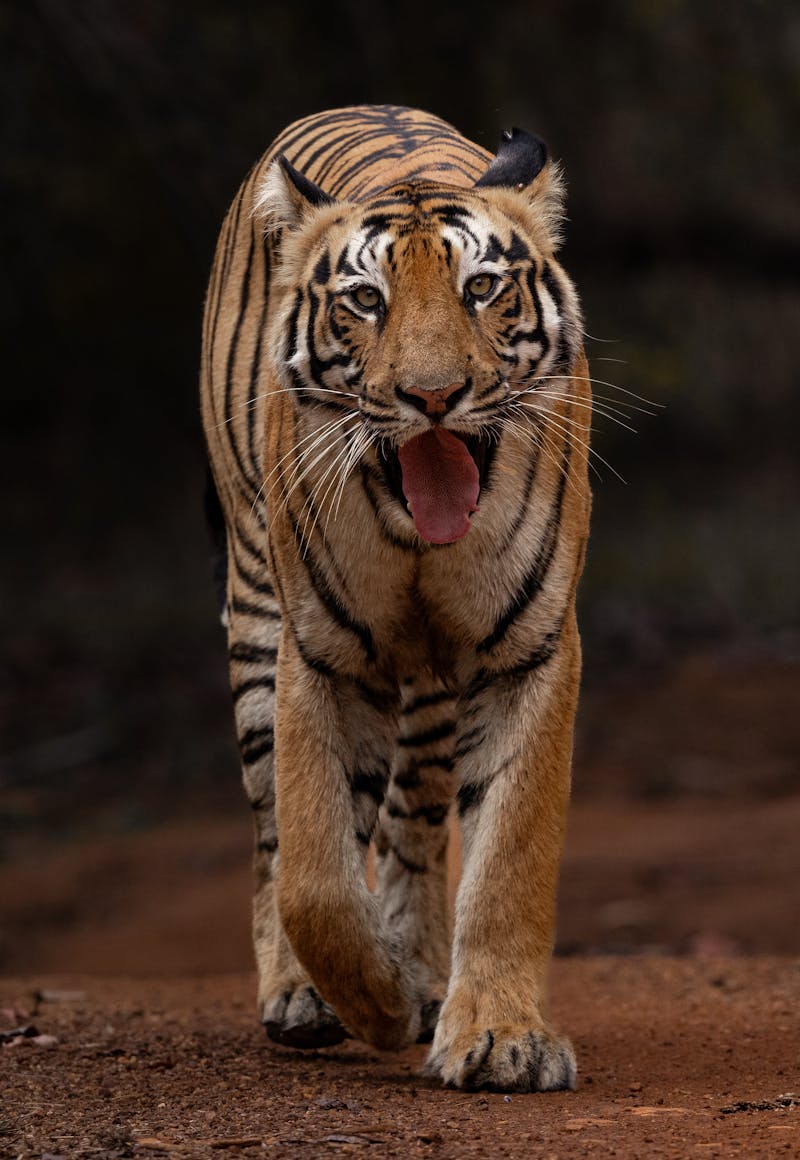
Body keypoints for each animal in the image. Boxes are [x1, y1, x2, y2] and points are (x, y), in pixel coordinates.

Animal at [200, 104, 591, 1092]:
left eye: (481, 287)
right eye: (366, 300)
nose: (434, 396)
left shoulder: (530, 649)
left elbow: (510, 858)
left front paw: (498, 1039)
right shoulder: (317, 654)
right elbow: (313, 870)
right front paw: (367, 1001)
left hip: (432, 688)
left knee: (413, 820)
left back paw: (419, 967)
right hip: (255, 607)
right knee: (273, 834)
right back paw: (312, 994)